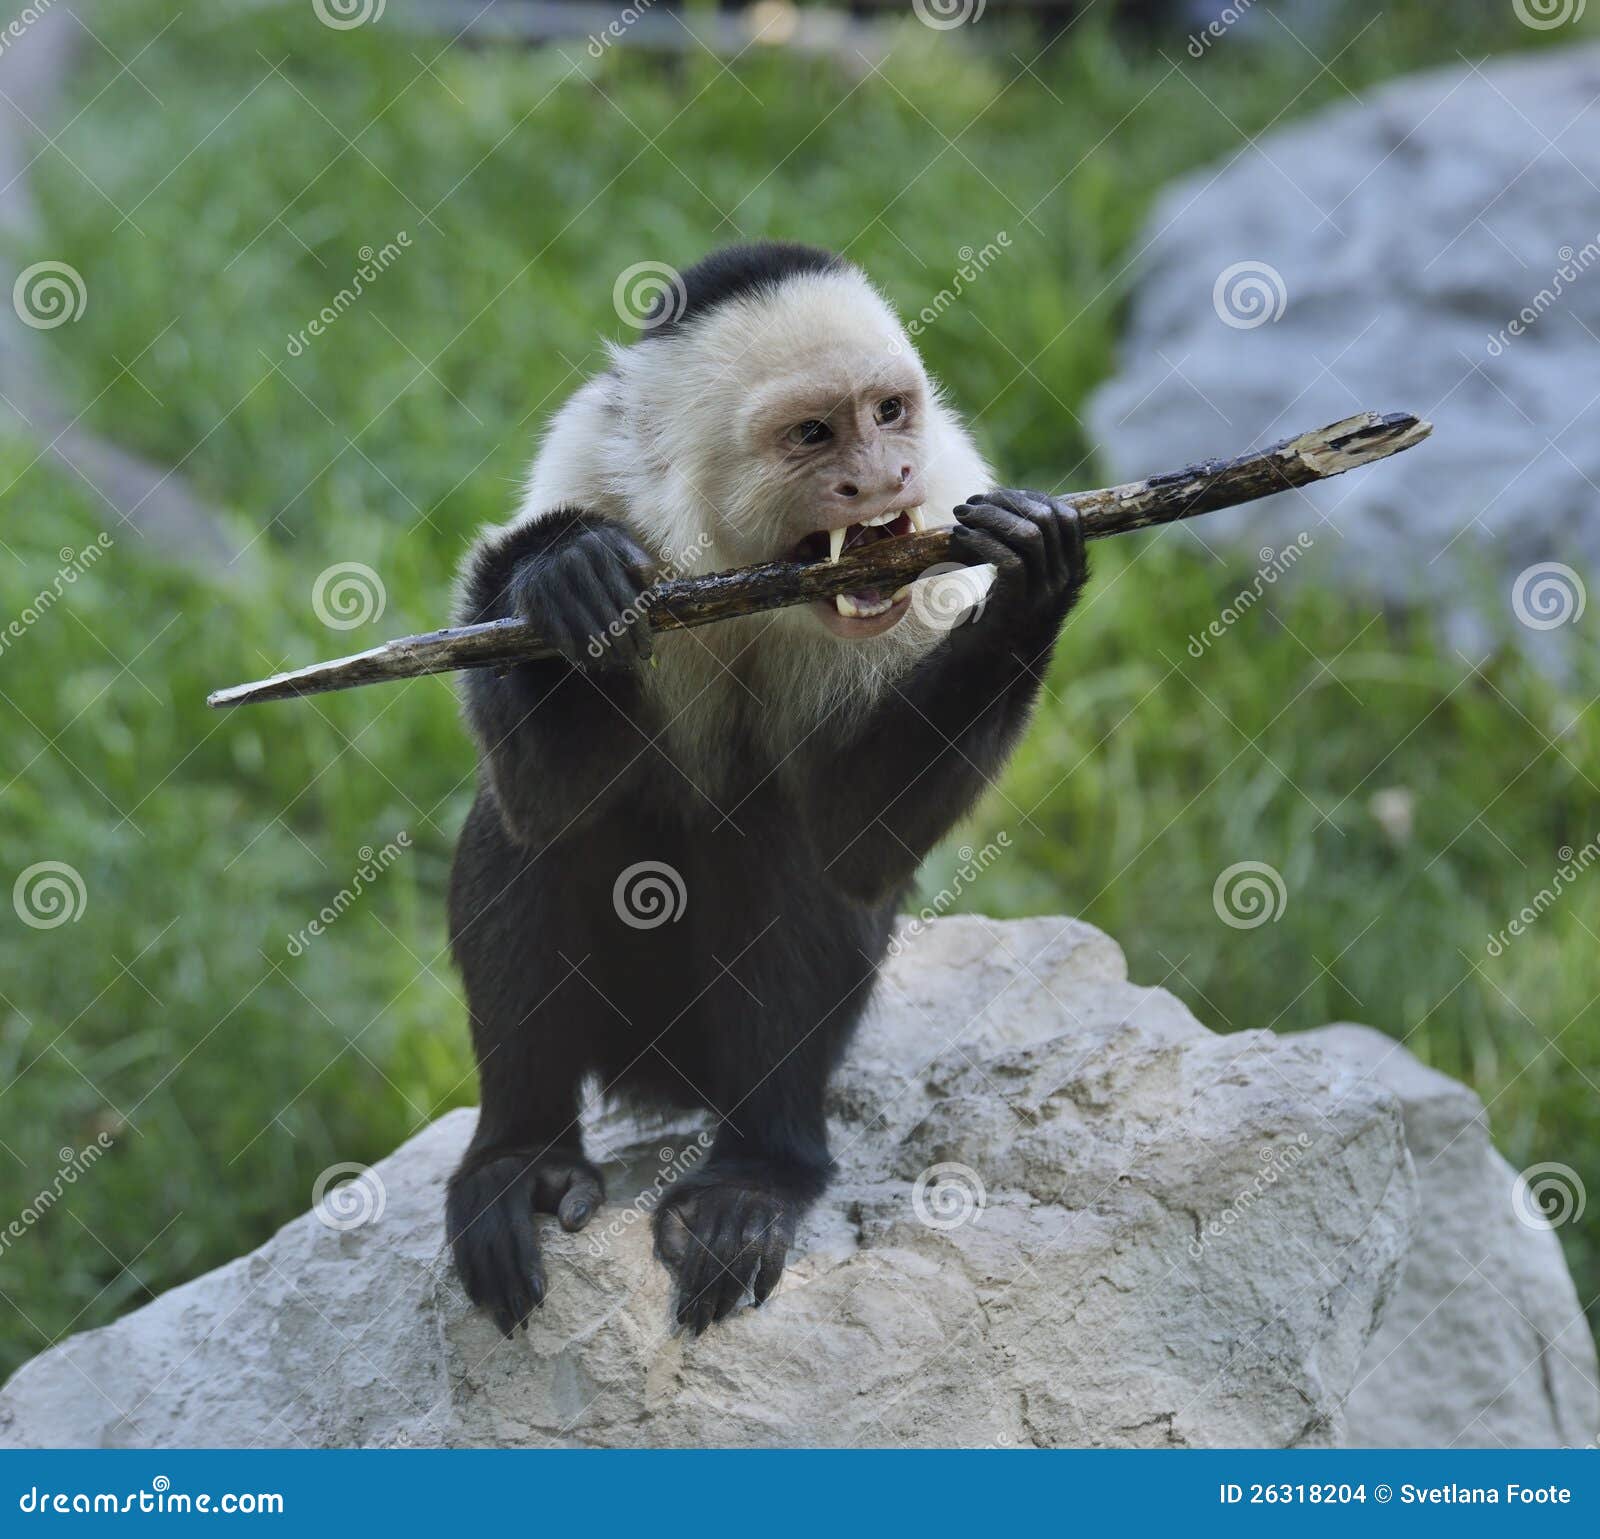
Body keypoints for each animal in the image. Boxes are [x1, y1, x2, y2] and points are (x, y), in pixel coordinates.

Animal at [445, 242, 1089, 1336]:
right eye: (812, 434)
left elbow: (856, 846)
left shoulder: (943, 513)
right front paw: (560, 573)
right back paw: (524, 1159)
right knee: (534, 834)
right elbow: (540, 803)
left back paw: (758, 1172)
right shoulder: (591, 467)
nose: (882, 477)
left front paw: (1029, 590)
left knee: (781, 844)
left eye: (890, 413)